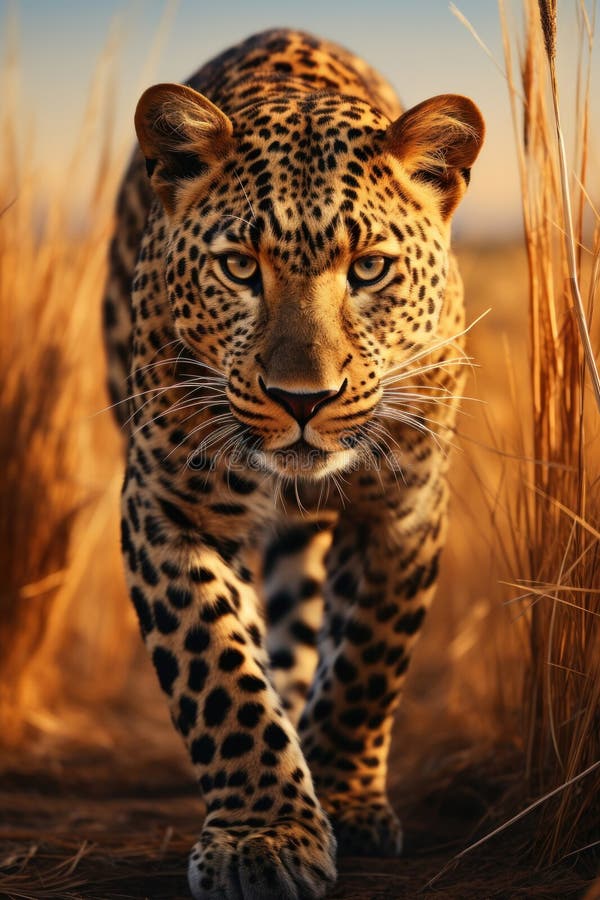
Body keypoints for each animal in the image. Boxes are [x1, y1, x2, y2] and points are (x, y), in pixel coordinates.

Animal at [102, 27, 484, 900]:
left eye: (369, 268)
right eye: (241, 267)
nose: (302, 399)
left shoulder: (403, 506)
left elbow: (368, 659)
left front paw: (341, 797)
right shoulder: (167, 507)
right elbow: (218, 672)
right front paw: (264, 834)